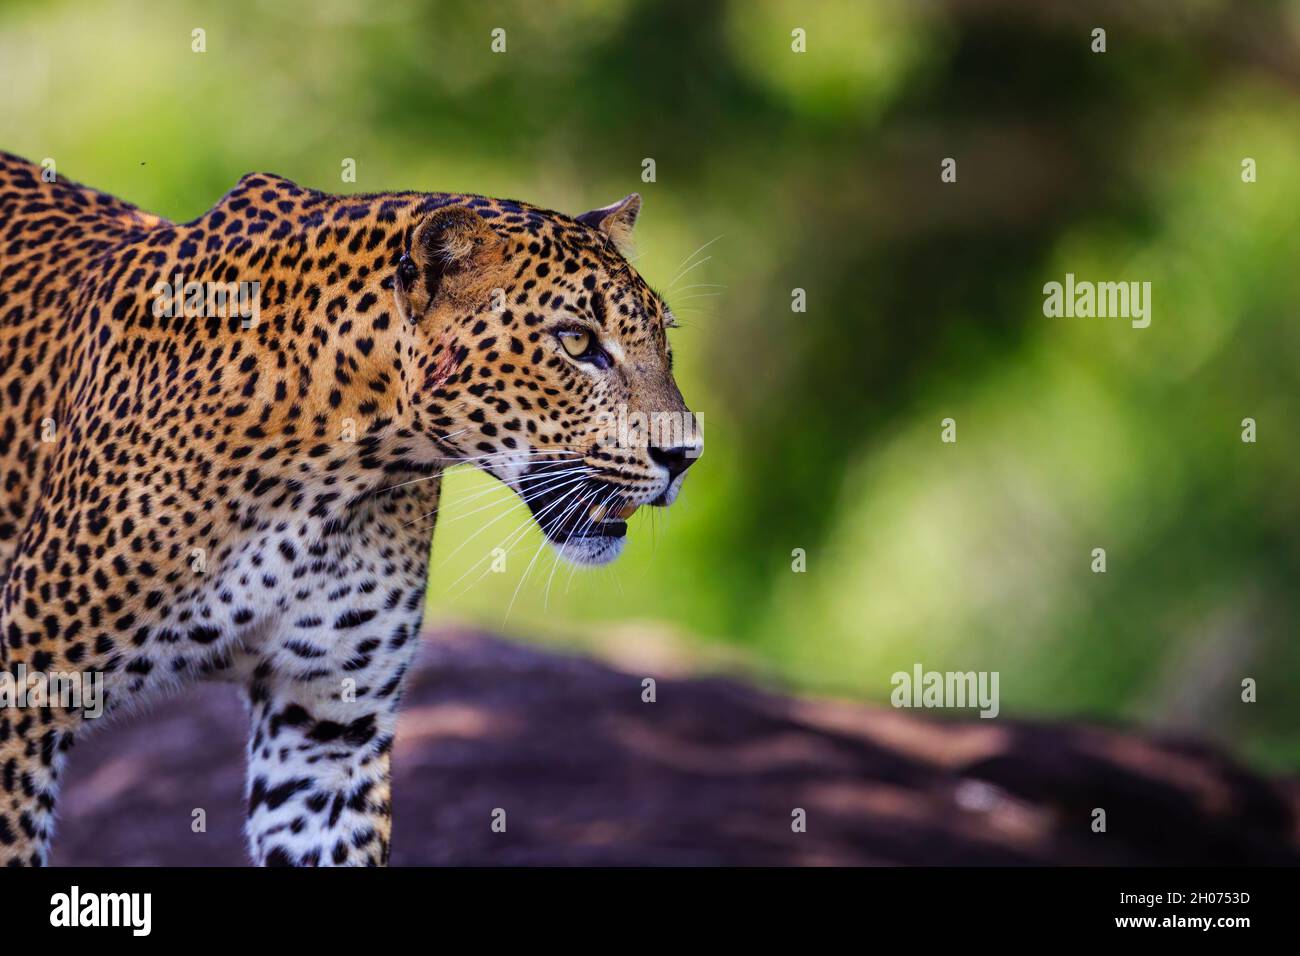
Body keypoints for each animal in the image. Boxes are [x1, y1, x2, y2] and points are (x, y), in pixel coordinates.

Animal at [0, 151, 701, 866]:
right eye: (575, 341)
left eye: (666, 343)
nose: (686, 455)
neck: (335, 472)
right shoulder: (24, 695)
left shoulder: (325, 727)